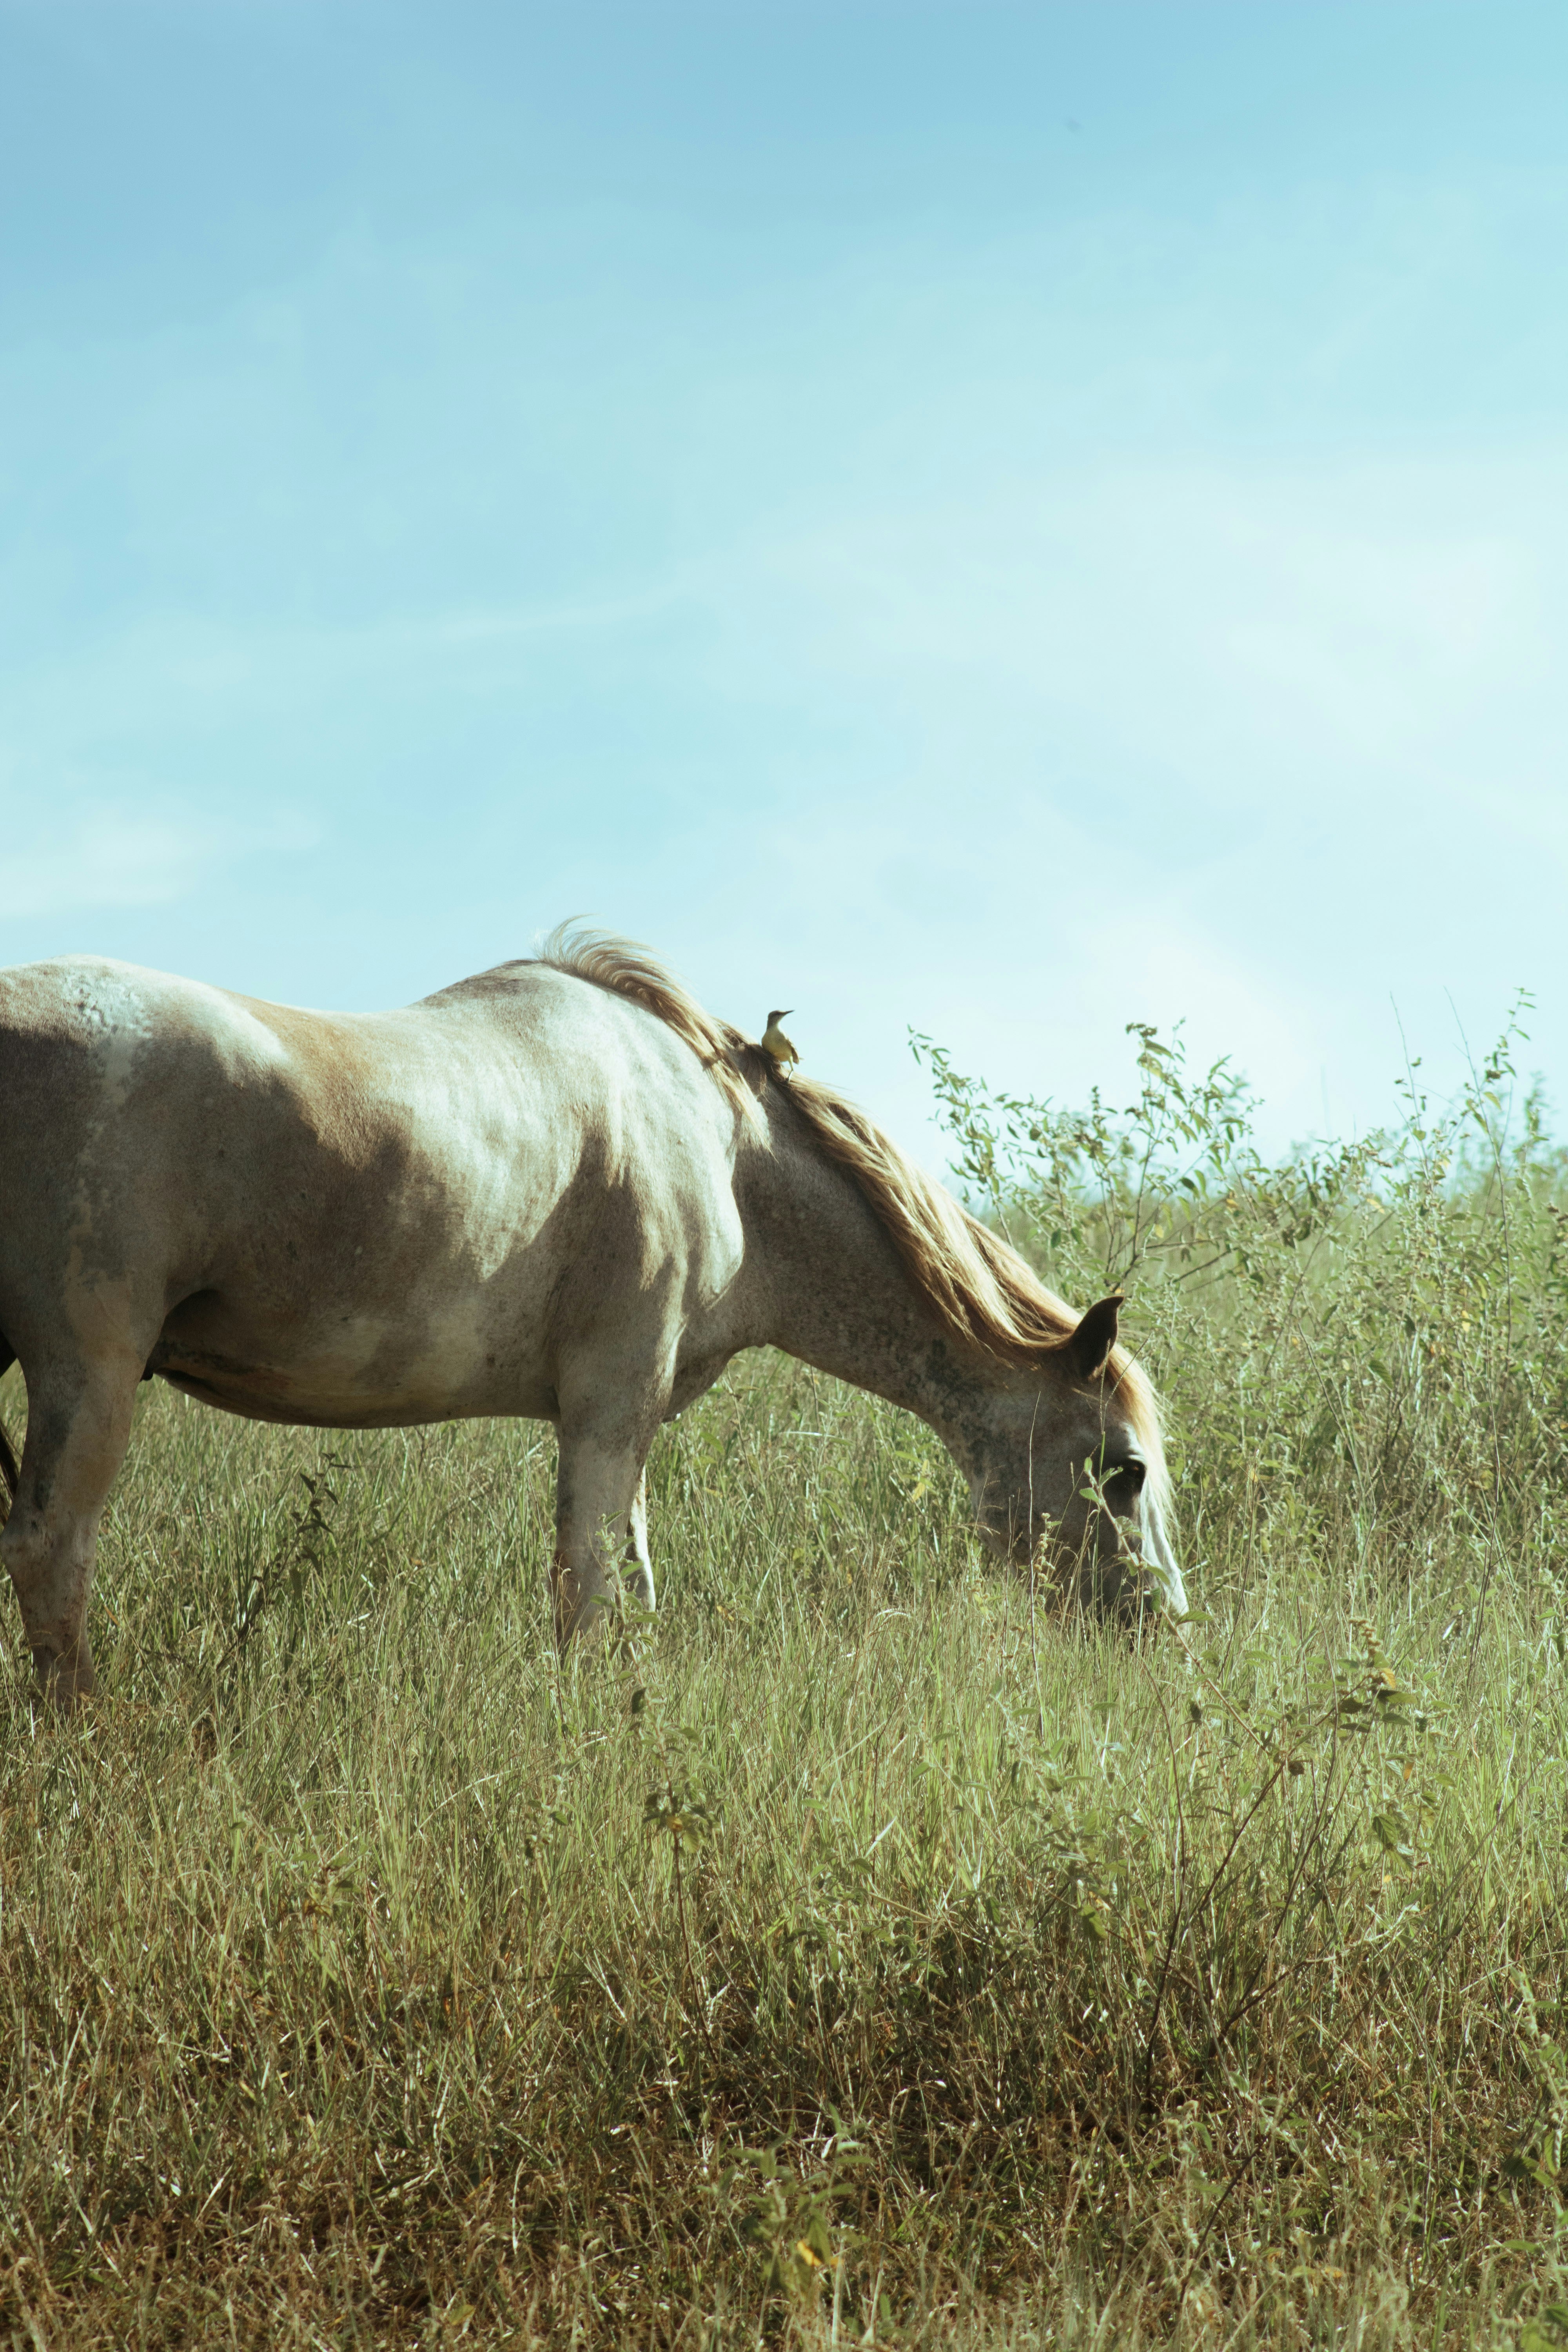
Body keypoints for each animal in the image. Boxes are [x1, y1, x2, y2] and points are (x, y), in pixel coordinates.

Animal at [0, 926, 1183, 1704]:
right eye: (1122, 1469)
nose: (1164, 1626)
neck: (727, 1149)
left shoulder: (637, 1416)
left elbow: (631, 1588)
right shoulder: (611, 1401)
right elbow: (590, 1589)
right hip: (86, 1374)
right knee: (52, 1553)